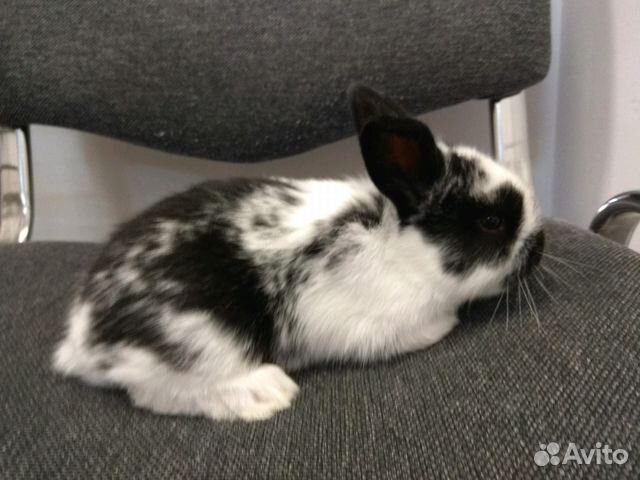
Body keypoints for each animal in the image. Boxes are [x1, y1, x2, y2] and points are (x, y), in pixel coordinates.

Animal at [53, 85, 544, 421]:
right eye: (491, 222)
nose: (540, 247)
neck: (397, 246)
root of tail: (83, 335)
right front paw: (448, 323)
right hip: (201, 336)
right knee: (157, 390)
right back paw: (267, 392)